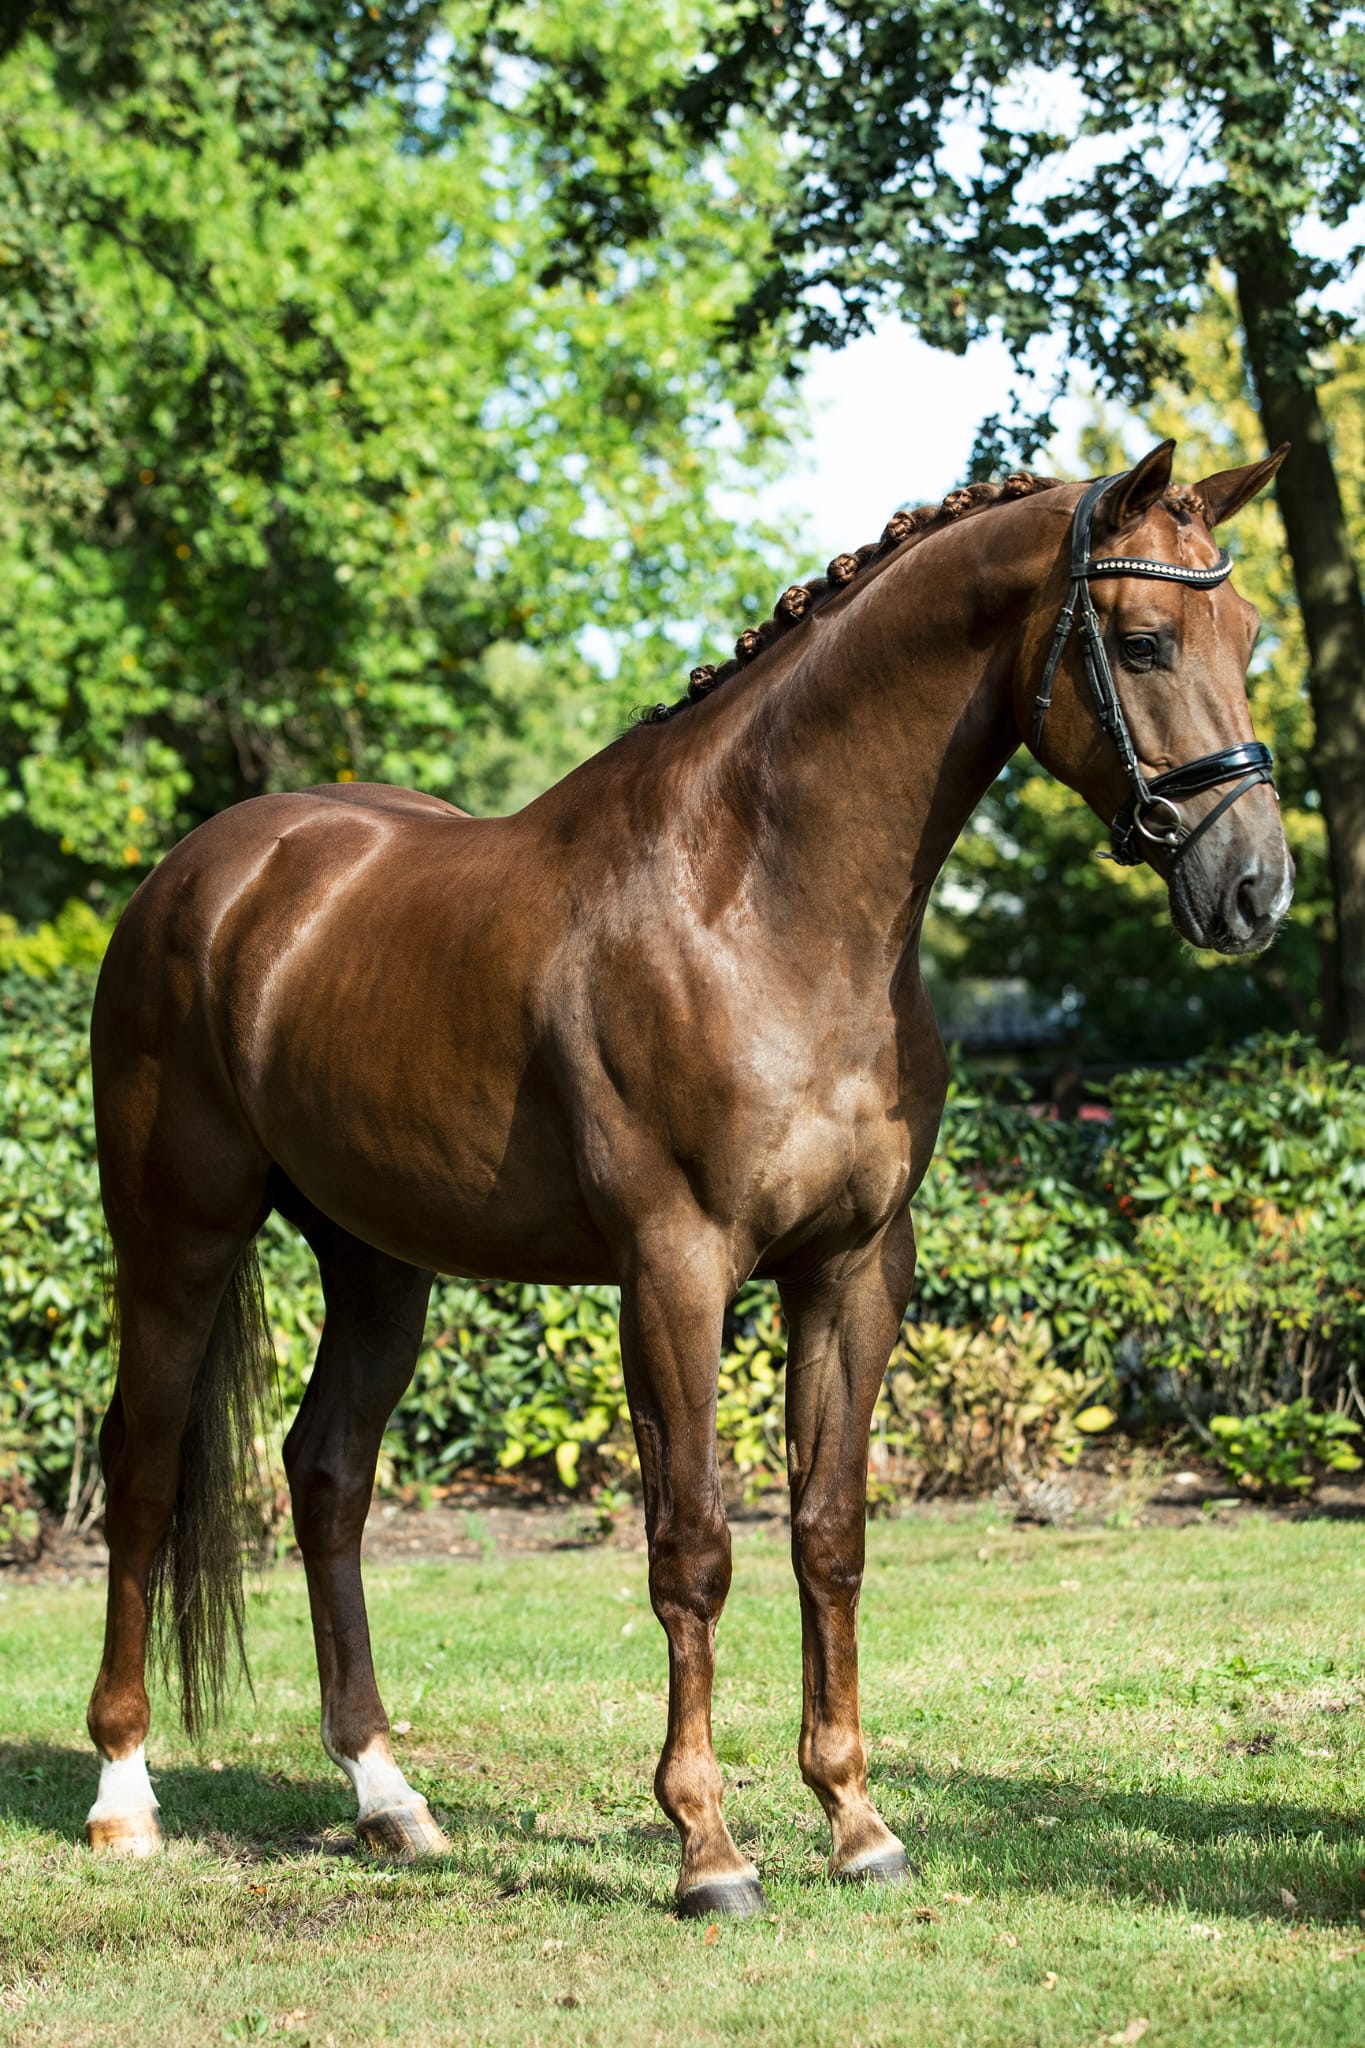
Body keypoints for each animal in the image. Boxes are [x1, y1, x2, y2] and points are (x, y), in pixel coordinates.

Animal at [83, 438, 1292, 1916]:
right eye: (1141, 637)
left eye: (1251, 634)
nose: (1254, 886)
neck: (762, 905)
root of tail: (207, 874)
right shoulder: (674, 1268)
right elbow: (694, 1547)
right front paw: (709, 1850)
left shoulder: (851, 1269)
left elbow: (827, 1532)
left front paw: (857, 1822)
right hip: (177, 1234)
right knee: (143, 1473)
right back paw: (123, 1798)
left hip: (378, 1261)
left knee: (327, 1476)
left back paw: (389, 1799)